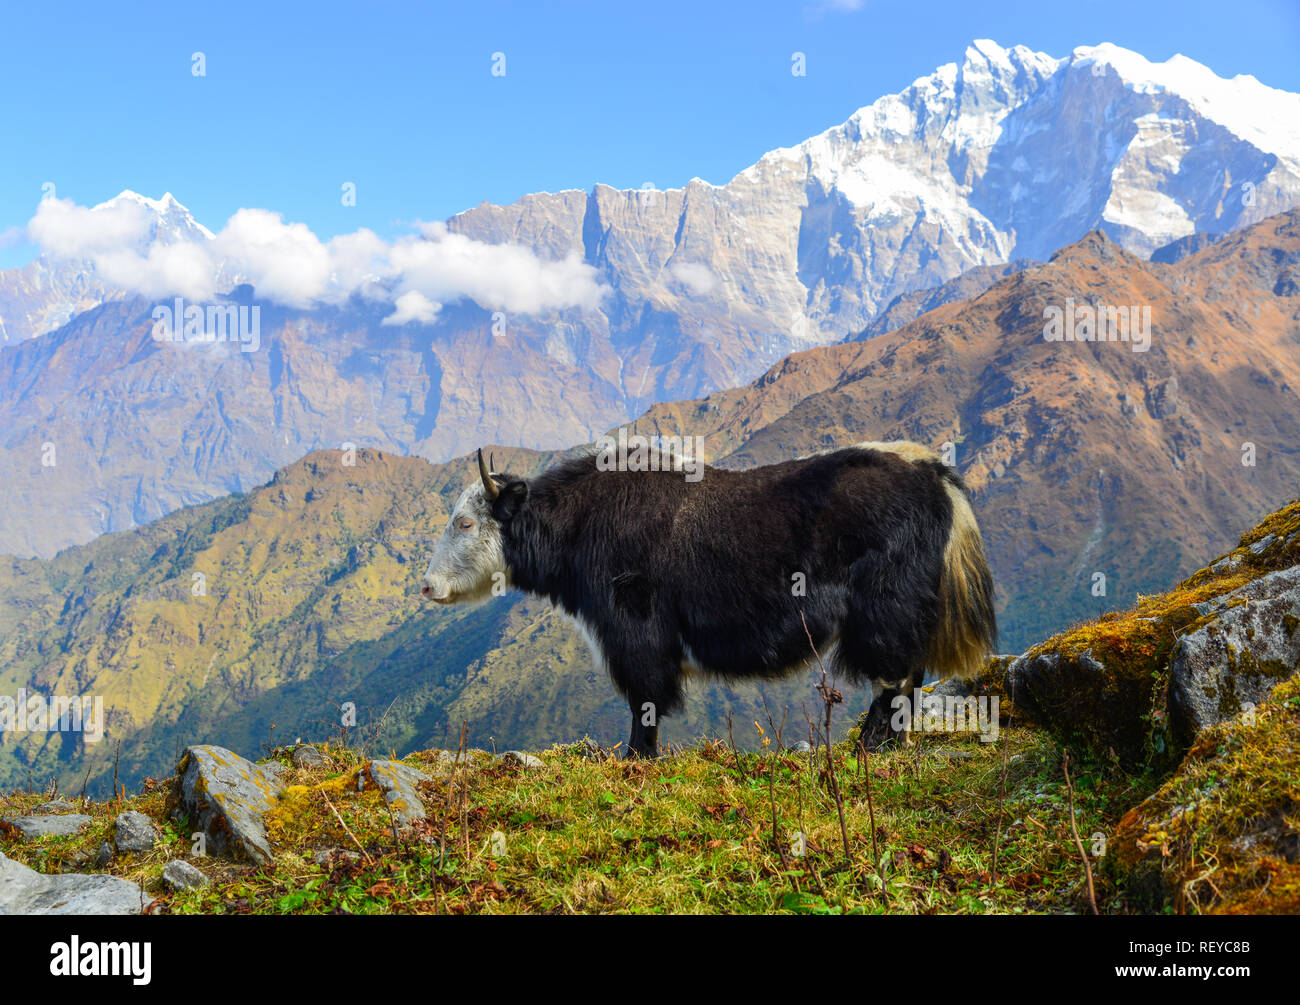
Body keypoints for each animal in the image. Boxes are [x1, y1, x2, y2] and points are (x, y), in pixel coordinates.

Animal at [421, 441, 996, 757]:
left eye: (466, 522)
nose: (427, 587)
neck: (581, 523)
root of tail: (935, 474)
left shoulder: (637, 631)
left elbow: (646, 698)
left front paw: (636, 759)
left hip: (887, 610)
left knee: (894, 678)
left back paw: (870, 747)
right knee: (907, 678)